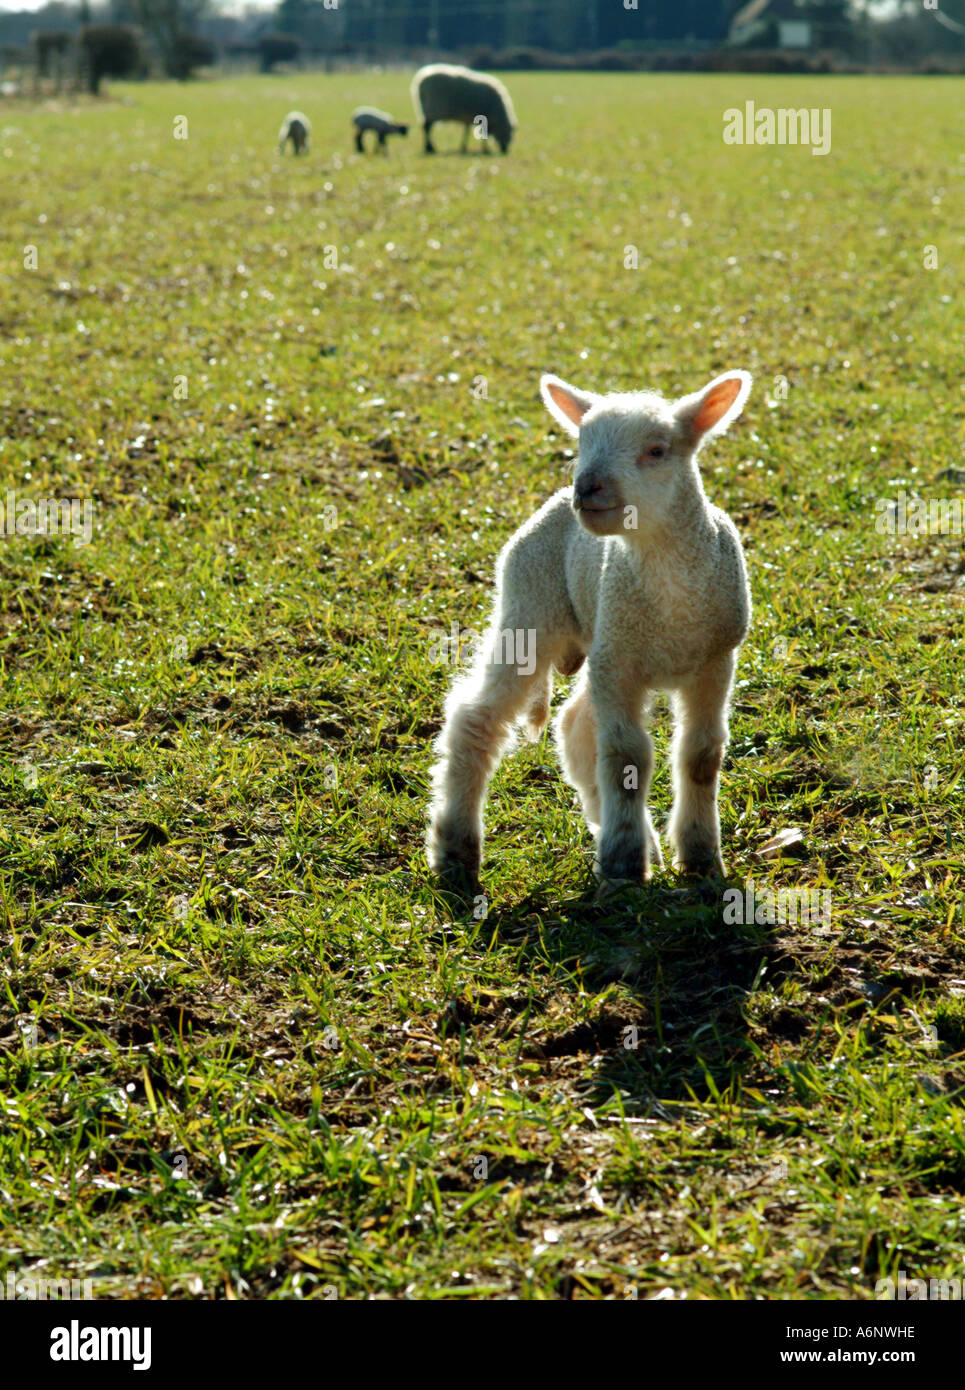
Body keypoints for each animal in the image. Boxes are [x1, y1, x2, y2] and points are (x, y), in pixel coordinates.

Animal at [426, 369, 753, 891]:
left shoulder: (714, 660)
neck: (672, 608)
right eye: (582, 442)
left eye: (657, 450)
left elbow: (701, 756)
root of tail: (554, 504)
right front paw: (624, 865)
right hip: (530, 609)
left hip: (593, 639)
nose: (587, 488)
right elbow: (626, 757)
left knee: (575, 725)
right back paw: (456, 850)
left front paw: (701, 857)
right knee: (478, 717)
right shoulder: (618, 661)